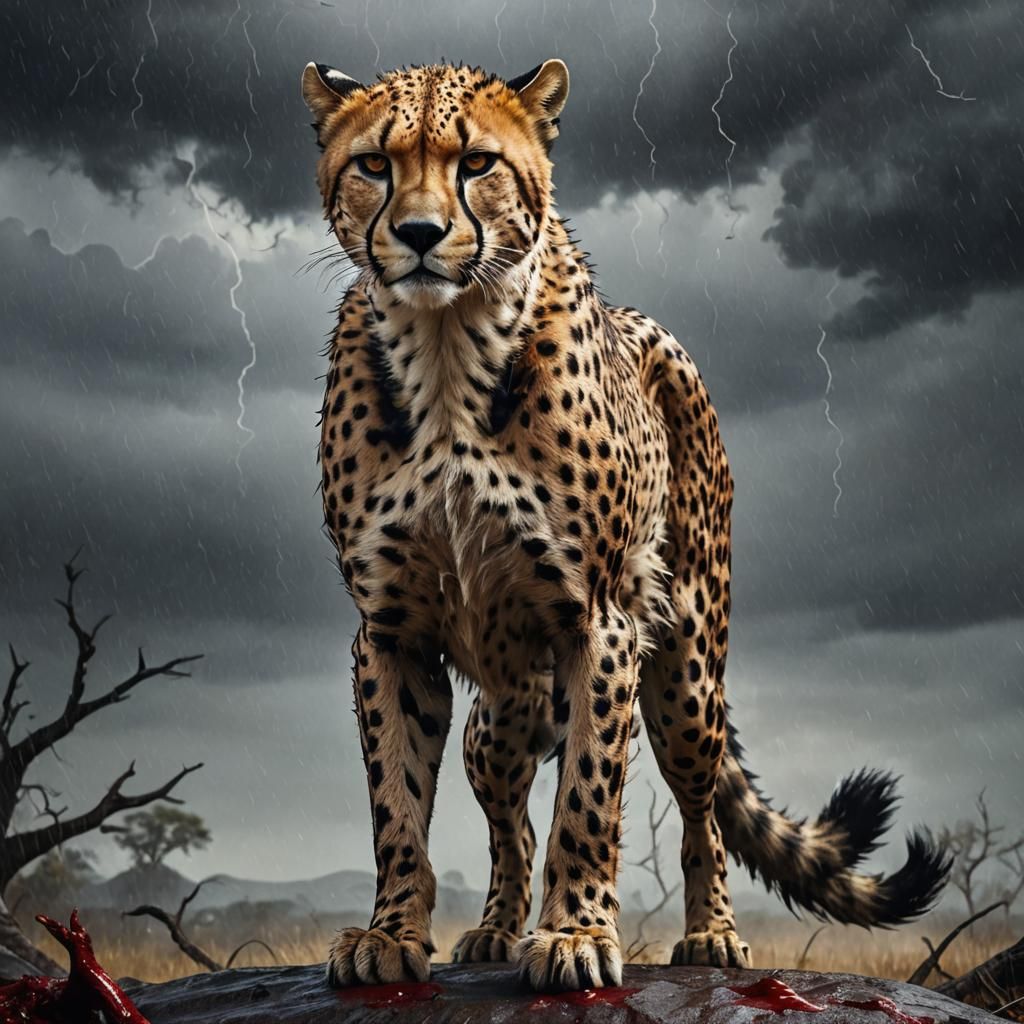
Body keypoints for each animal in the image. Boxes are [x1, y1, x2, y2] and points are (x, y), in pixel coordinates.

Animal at [300, 57, 950, 992]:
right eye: (375, 165)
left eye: (476, 164)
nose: (420, 234)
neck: (447, 344)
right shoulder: (388, 631)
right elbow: (397, 803)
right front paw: (390, 934)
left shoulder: (598, 620)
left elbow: (589, 798)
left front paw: (575, 934)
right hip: (503, 716)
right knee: (509, 821)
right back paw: (494, 928)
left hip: (684, 676)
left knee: (699, 810)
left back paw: (712, 934)